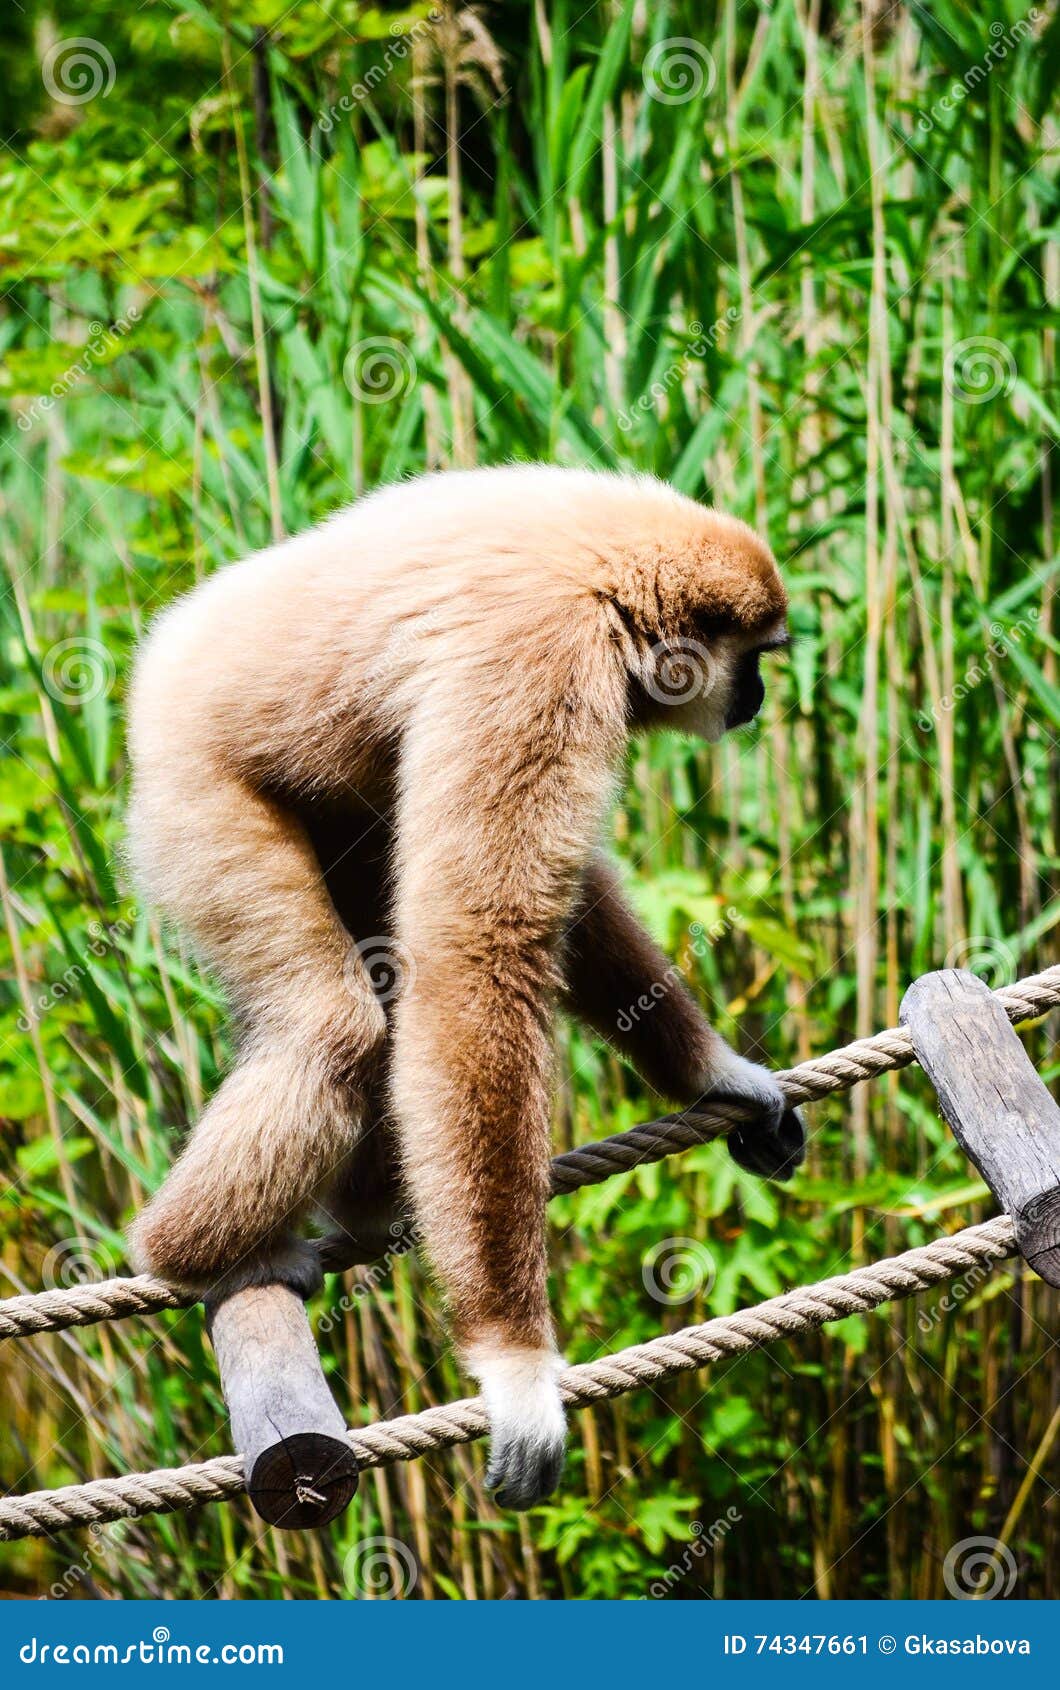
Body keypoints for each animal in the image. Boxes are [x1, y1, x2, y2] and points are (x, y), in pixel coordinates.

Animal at [126, 464, 805, 1511]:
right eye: (756, 659)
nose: (761, 696)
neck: (606, 581)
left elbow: (549, 908)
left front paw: (719, 1075)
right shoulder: (538, 662)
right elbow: (477, 950)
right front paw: (516, 1366)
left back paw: (362, 1209)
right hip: (193, 786)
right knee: (334, 1023)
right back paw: (198, 1253)